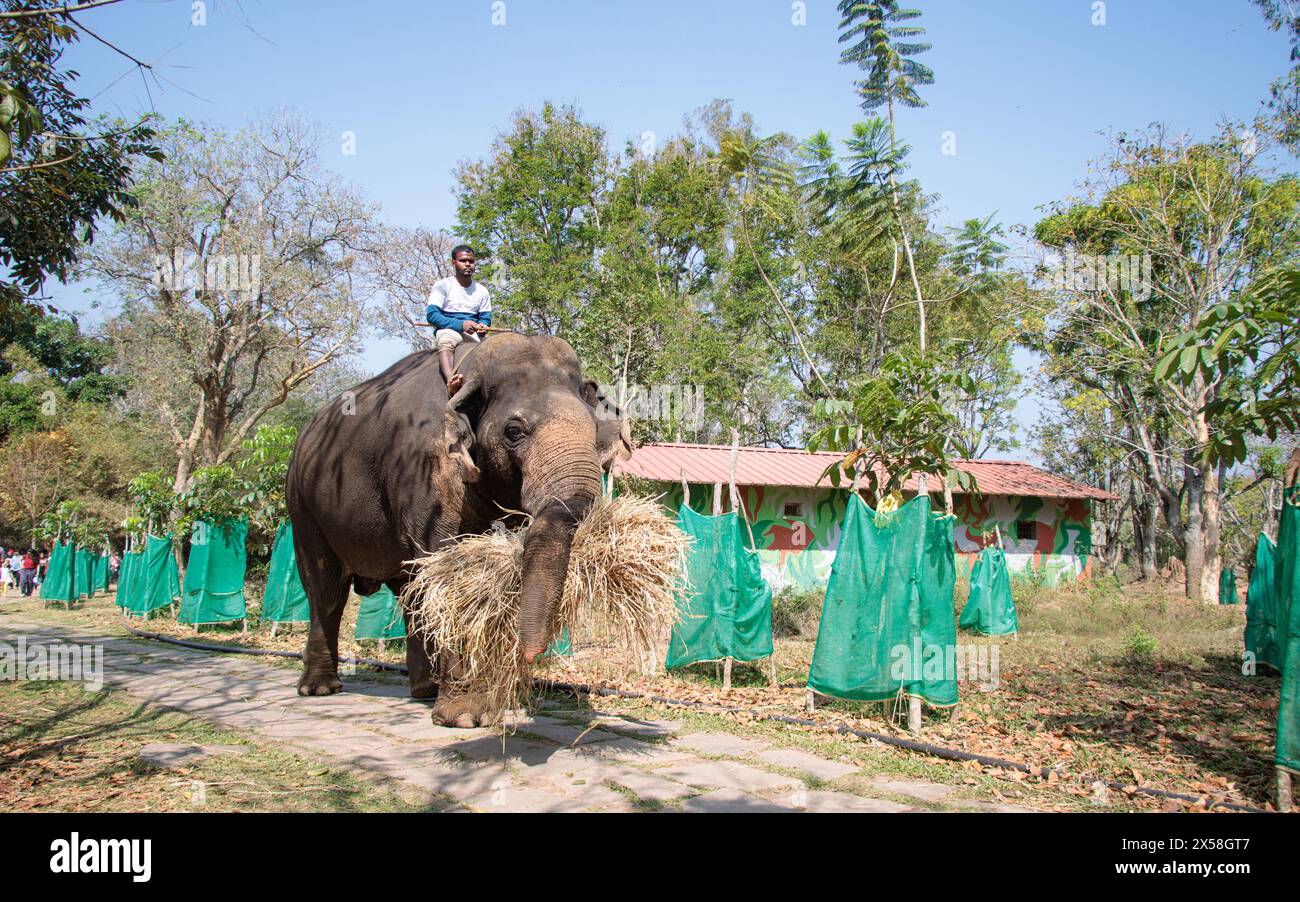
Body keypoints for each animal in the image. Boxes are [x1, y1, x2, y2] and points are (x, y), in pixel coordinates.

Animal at [285, 332, 631, 727]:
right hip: (303, 504)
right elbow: (452, 572)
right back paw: (320, 689)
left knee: (410, 592)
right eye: (514, 431)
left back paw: (424, 690)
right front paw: (465, 718)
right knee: (325, 589)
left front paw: (501, 705)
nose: (530, 655)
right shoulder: (428, 473)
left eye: (594, 430)